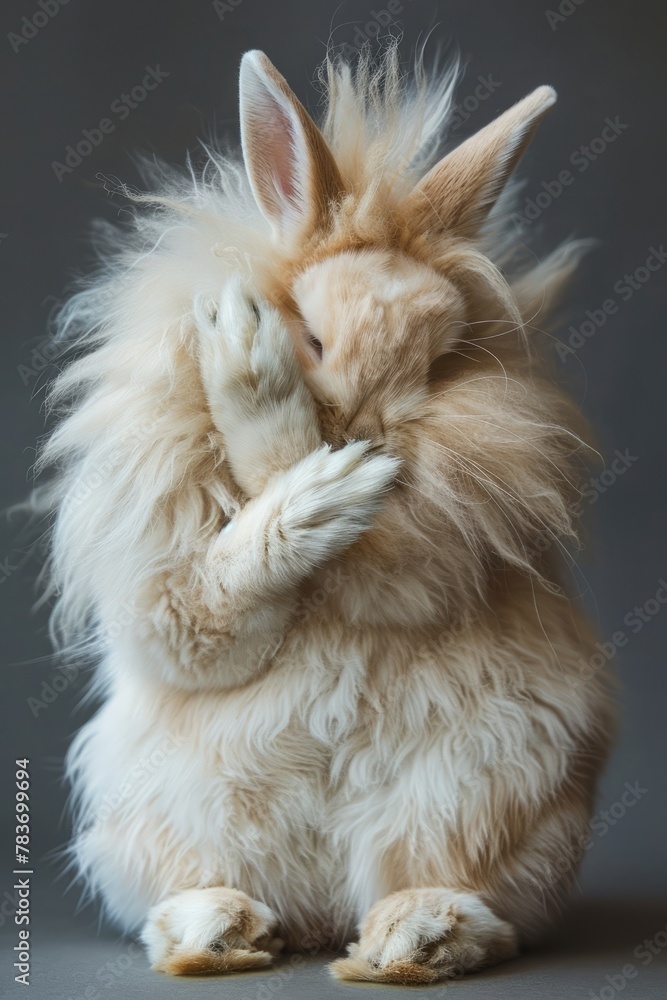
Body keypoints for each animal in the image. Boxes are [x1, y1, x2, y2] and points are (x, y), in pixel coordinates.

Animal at [34, 45, 615, 984]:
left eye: (441, 358)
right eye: (308, 335)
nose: (371, 430)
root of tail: (317, 916)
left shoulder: (441, 559)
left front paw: (333, 484)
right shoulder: (166, 586)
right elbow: (203, 607)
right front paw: (266, 392)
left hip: (492, 792)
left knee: (478, 905)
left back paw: (413, 937)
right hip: (160, 809)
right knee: (199, 888)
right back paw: (218, 930)